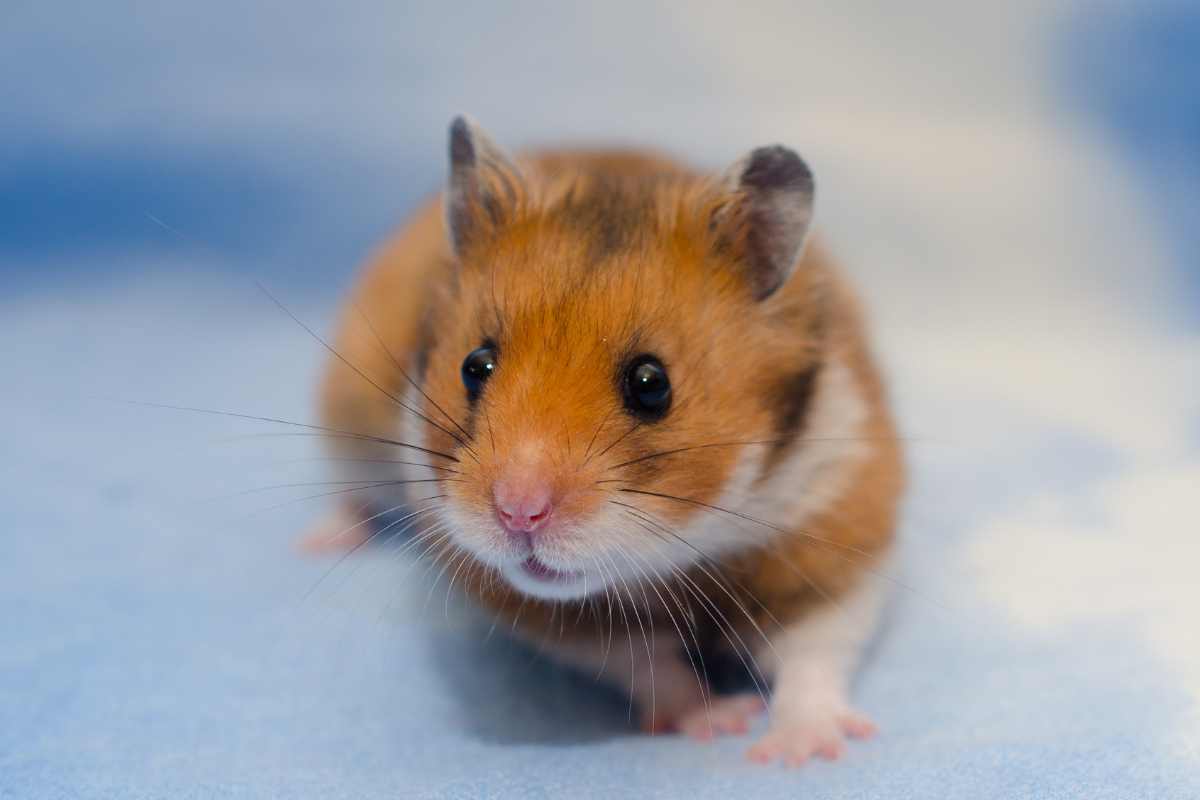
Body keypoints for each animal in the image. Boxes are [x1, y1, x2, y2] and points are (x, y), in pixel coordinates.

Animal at [309, 116, 904, 766]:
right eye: (475, 365)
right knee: (348, 494)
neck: (687, 549)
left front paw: (797, 752)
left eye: (651, 383)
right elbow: (649, 665)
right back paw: (320, 544)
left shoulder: (836, 529)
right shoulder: (549, 613)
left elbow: (813, 650)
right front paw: (721, 720)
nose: (518, 513)